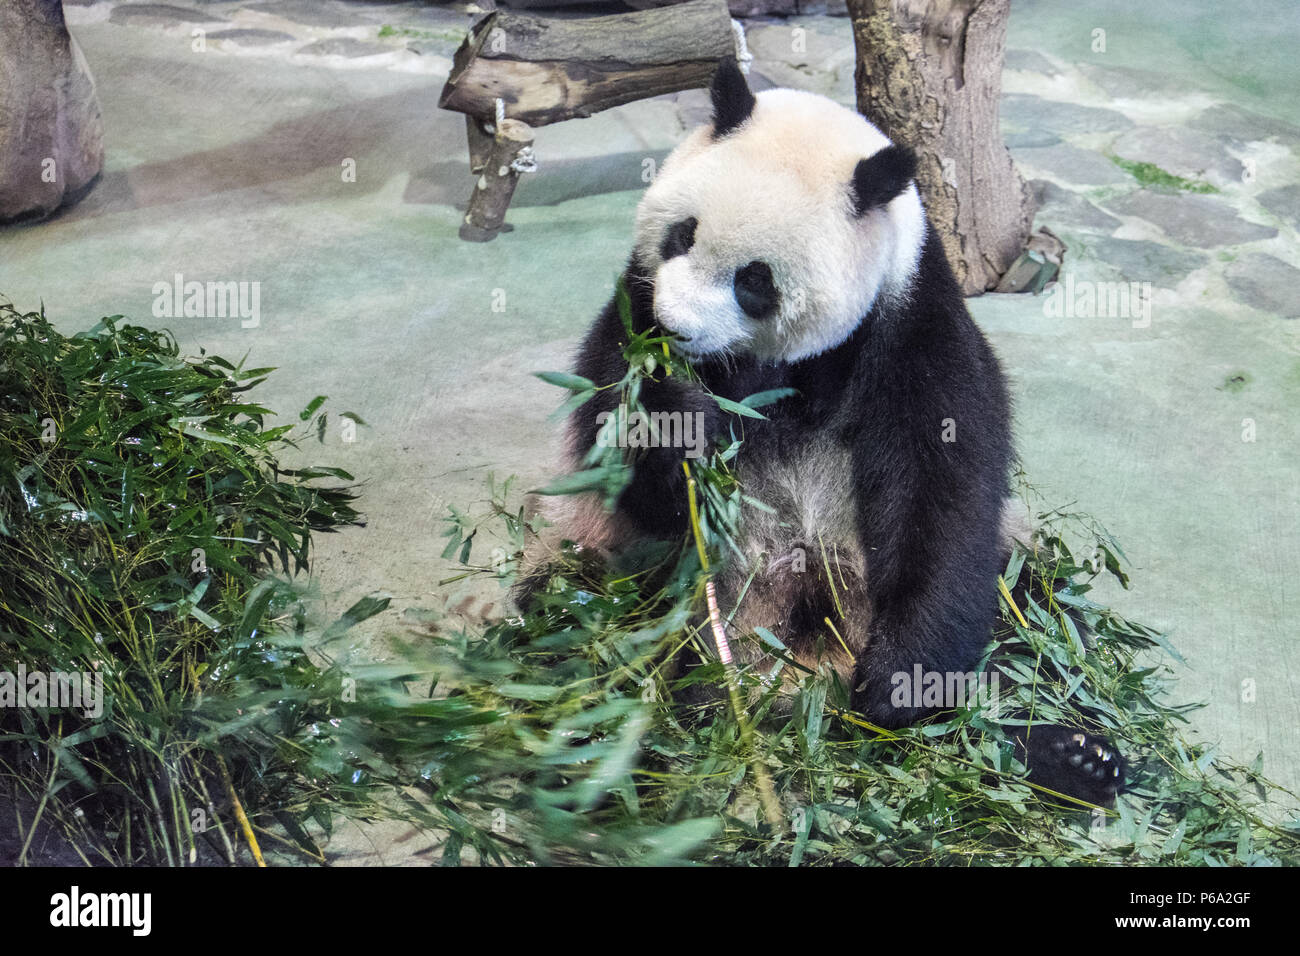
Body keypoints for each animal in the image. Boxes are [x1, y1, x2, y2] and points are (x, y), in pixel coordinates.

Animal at [524, 58, 1123, 806]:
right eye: (682, 235)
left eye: (755, 281)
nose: (677, 330)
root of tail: (800, 683)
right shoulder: (630, 309)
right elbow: (625, 444)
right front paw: (685, 425)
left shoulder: (911, 326)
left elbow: (943, 494)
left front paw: (902, 685)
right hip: (628, 580)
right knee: (570, 624)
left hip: (1000, 586)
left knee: (1034, 631)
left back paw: (1071, 756)